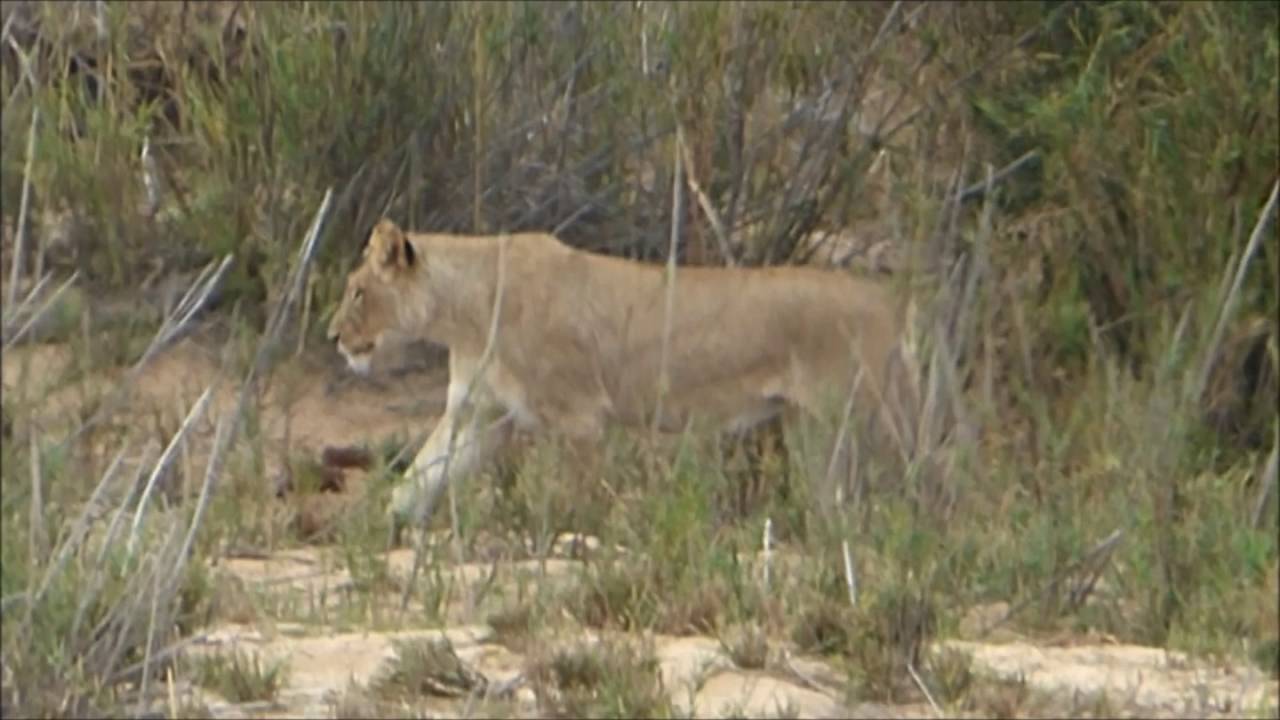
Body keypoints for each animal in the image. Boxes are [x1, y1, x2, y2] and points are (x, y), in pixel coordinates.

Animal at [328, 219, 912, 530]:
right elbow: (419, 478)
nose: (331, 335)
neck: (464, 315)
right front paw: (369, 530)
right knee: (834, 502)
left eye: (357, 291)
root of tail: (886, 298)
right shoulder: (477, 413)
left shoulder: (580, 417)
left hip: (873, 416)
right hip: (812, 428)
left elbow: (581, 503)